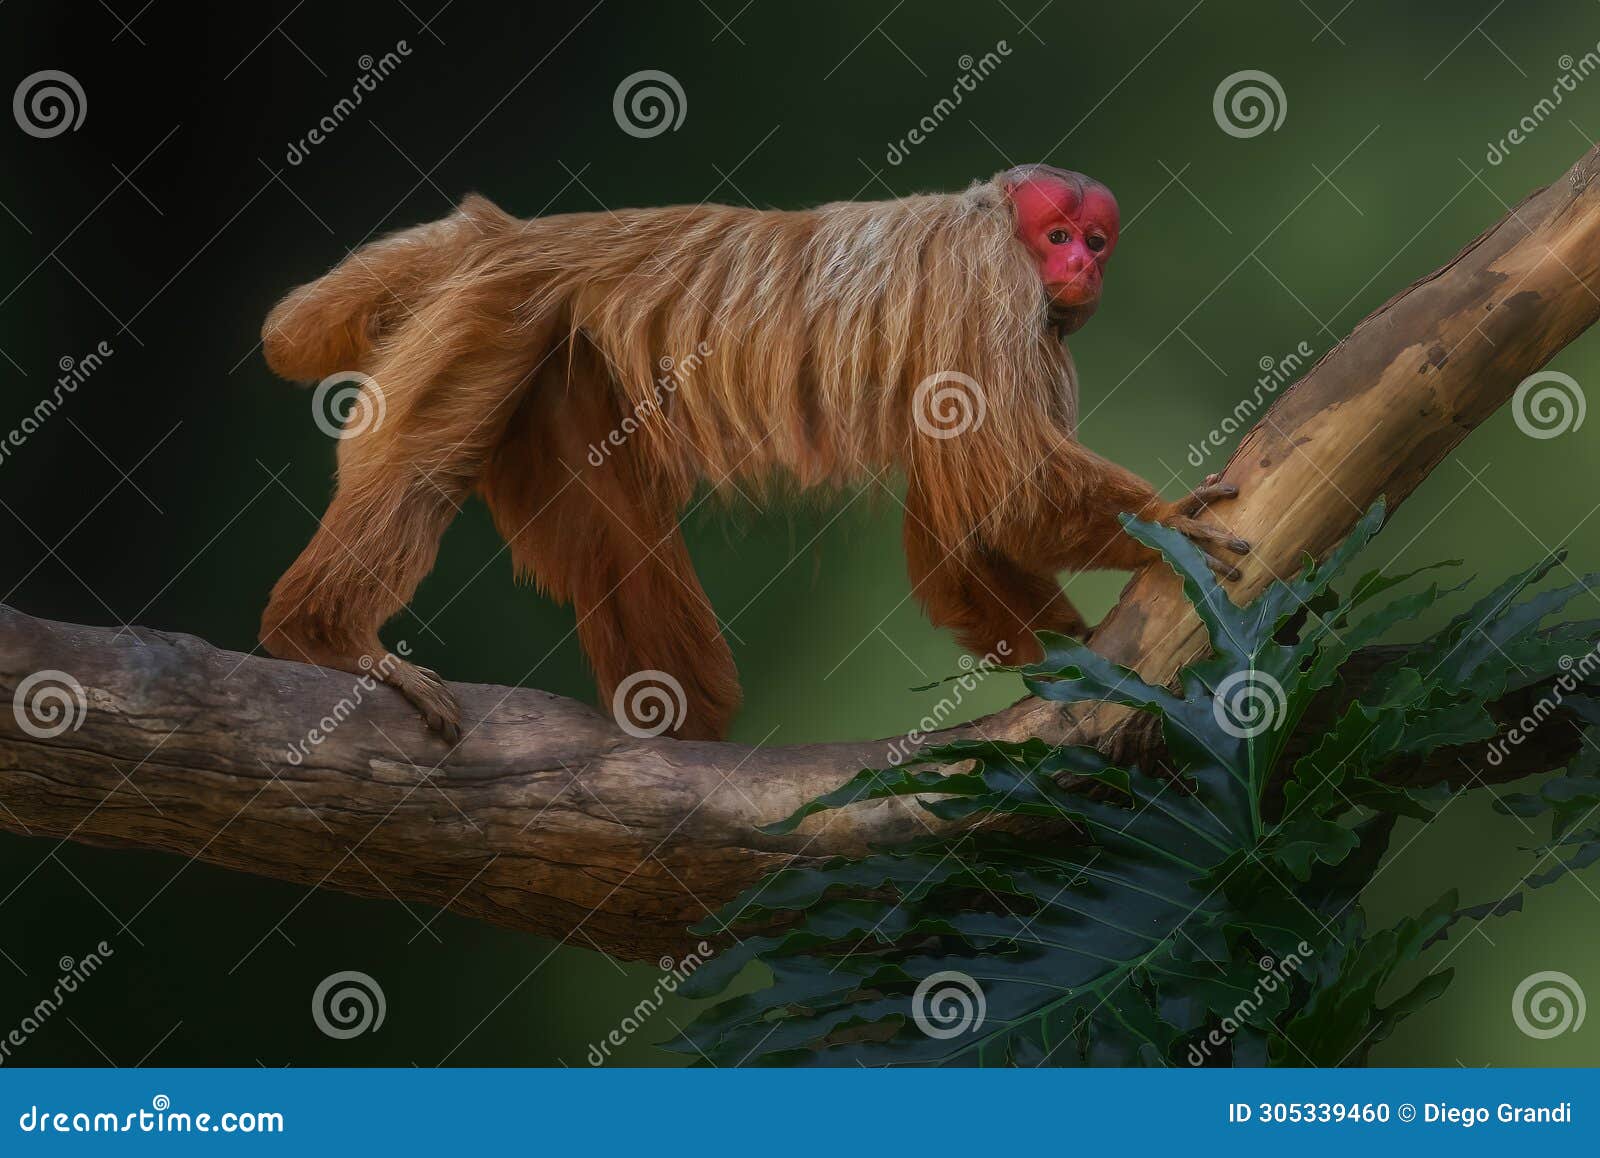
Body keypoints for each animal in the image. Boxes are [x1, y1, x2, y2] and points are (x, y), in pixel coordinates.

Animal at [257, 164, 1248, 744]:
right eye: (1058, 237)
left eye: (1096, 240)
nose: (1081, 267)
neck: (1002, 230)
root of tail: (516, 233)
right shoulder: (990, 285)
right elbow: (998, 473)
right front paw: (1164, 525)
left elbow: (960, 517)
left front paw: (1062, 642)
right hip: (486, 320)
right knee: (420, 472)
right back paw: (323, 636)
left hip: (553, 354)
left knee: (613, 529)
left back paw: (672, 714)